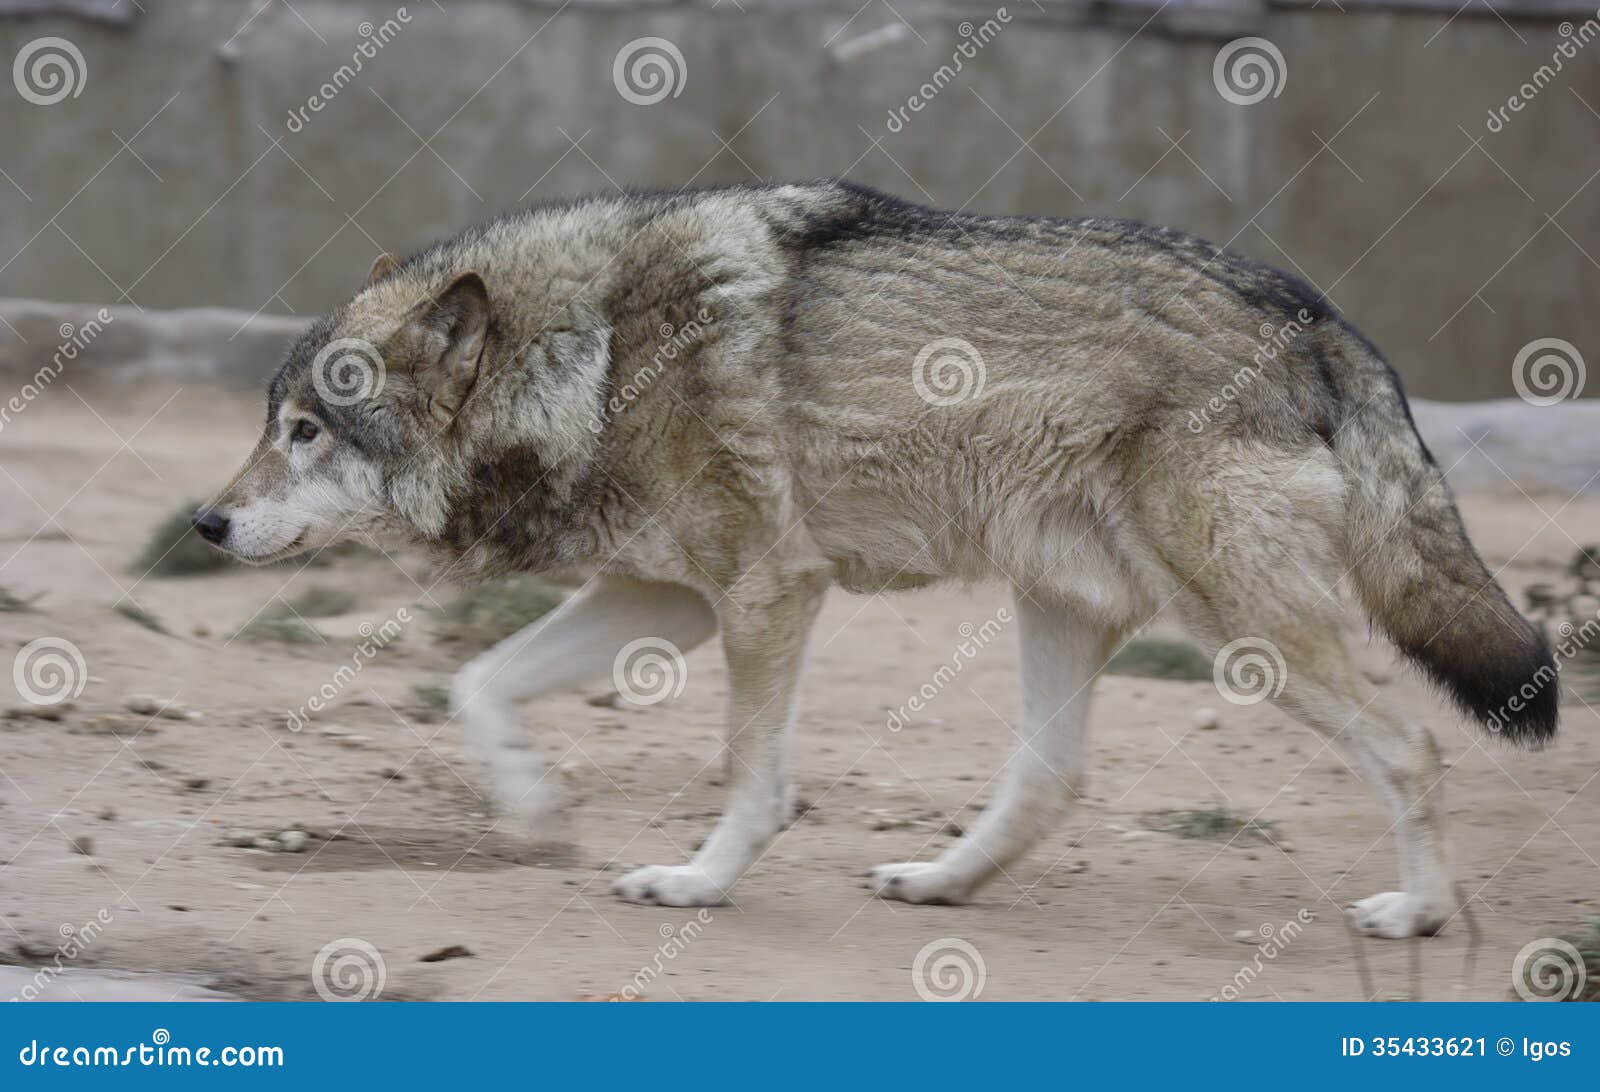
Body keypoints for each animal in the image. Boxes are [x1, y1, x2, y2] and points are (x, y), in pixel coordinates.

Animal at [197, 180, 1556, 936]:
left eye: (308, 430)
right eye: (270, 422)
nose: (208, 524)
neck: (589, 350)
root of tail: (1322, 319)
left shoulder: (764, 592)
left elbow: (754, 779)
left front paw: (697, 885)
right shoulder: (662, 598)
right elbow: (476, 684)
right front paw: (532, 805)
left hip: (1243, 629)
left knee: (1413, 745)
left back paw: (1419, 915)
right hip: (1062, 606)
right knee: (1051, 780)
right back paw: (939, 885)